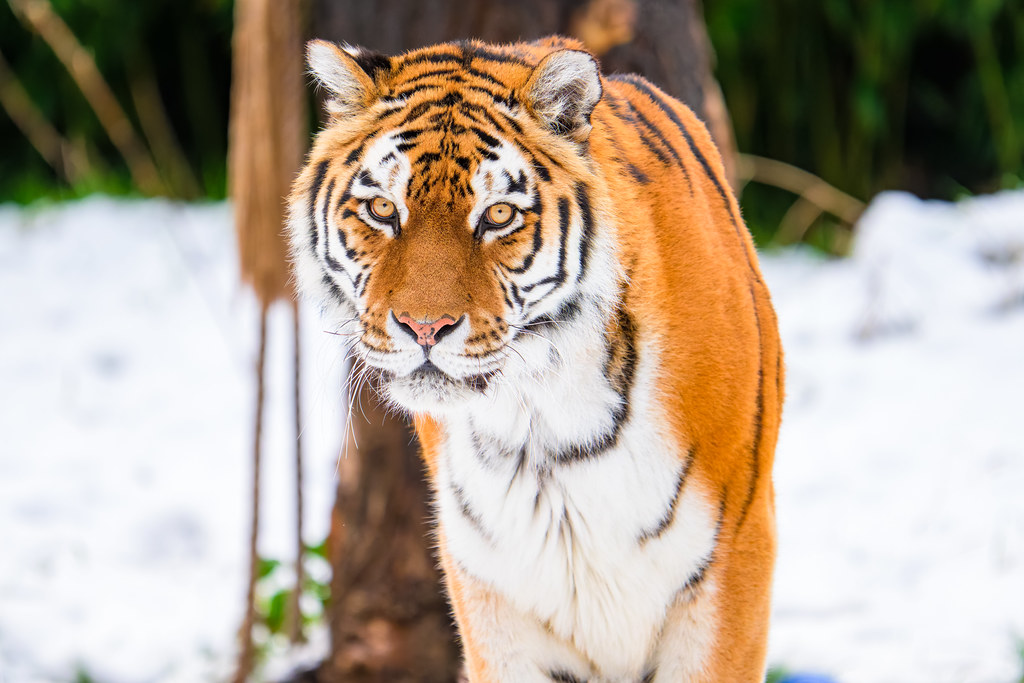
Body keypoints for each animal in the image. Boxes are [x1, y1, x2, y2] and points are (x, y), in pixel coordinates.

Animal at [288, 35, 783, 683]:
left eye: (499, 215)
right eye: (381, 209)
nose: (425, 328)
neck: (542, 418)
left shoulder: (732, 566)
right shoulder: (492, 593)